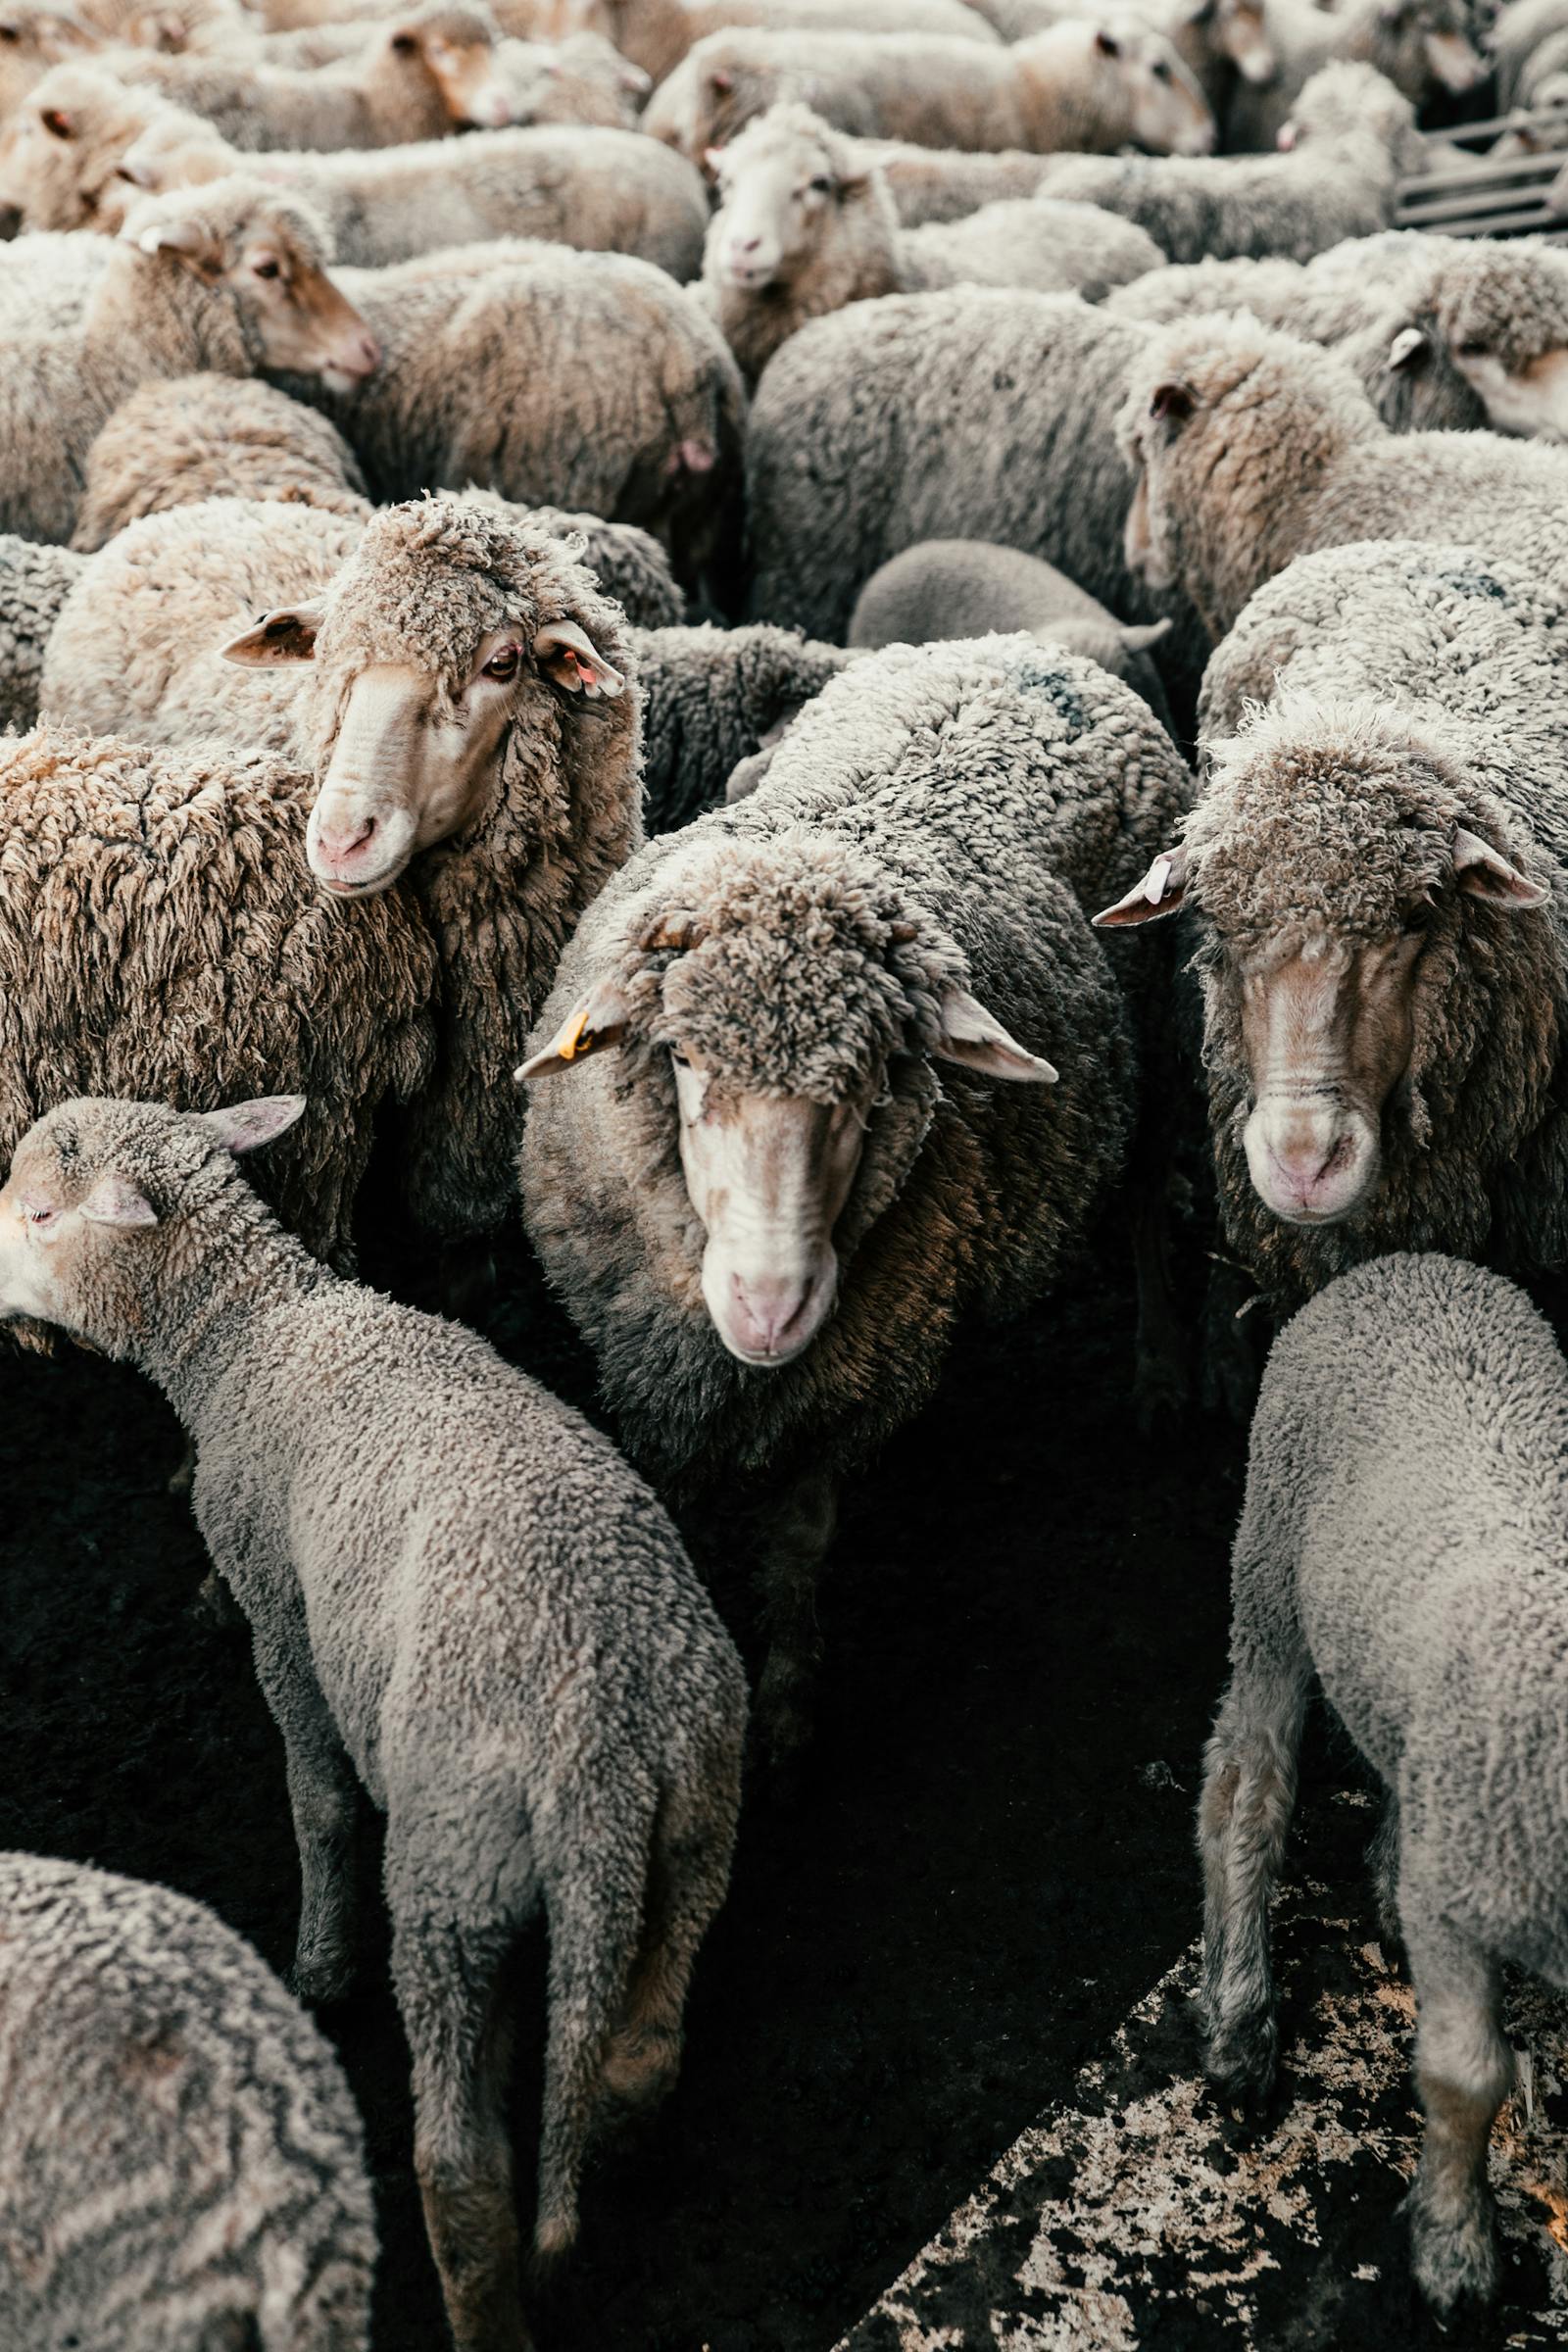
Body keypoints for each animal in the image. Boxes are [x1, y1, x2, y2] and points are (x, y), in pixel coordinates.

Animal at [516, 632, 1193, 1762]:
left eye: (878, 1076)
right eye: (683, 1059)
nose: (770, 1307)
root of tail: (1024, 645)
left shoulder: (854, 1374)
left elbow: (801, 1536)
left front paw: (787, 1703)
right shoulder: (650, 1370)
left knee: (1150, 1211)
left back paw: (1161, 1379)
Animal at [1197, 1251, 1568, 2314]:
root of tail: (1399, 1262)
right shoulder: (1458, 1905)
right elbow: (1466, 2076)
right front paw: (1454, 2244)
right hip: (1268, 1564)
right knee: (1245, 1785)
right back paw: (1241, 2016)